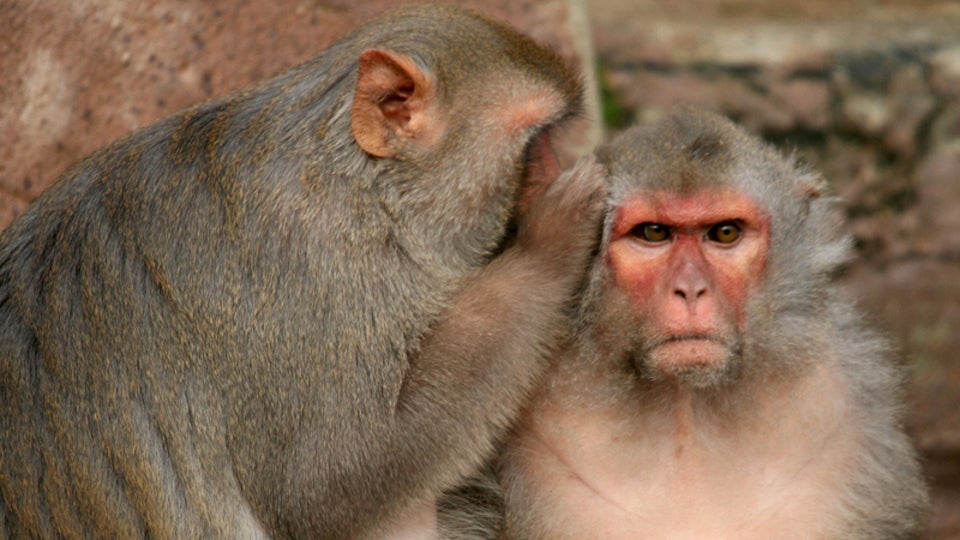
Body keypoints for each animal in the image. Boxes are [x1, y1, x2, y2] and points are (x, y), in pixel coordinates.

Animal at [0, 6, 607, 538]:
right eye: (537, 141)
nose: (559, 166)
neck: (367, 190)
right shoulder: (314, 274)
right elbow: (329, 480)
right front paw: (548, 246)